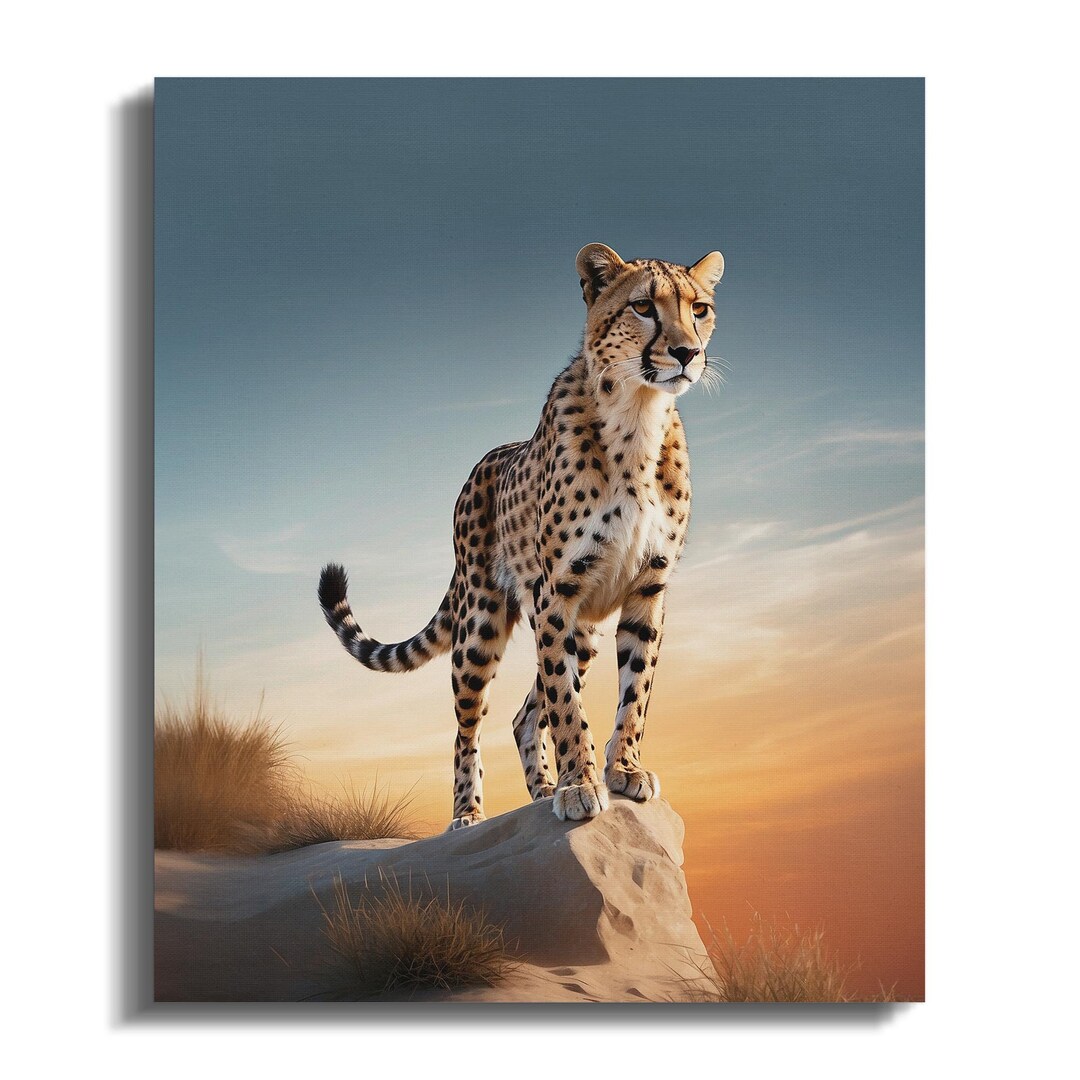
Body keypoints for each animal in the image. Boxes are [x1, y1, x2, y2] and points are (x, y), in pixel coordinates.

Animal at [319, 242, 725, 828]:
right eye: (644, 306)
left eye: (699, 309)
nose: (688, 353)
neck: (637, 415)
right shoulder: (556, 591)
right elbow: (567, 704)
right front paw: (579, 784)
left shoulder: (648, 589)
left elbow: (634, 693)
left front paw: (621, 768)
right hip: (481, 624)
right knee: (470, 726)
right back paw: (469, 812)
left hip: (584, 632)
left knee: (523, 713)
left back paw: (540, 789)